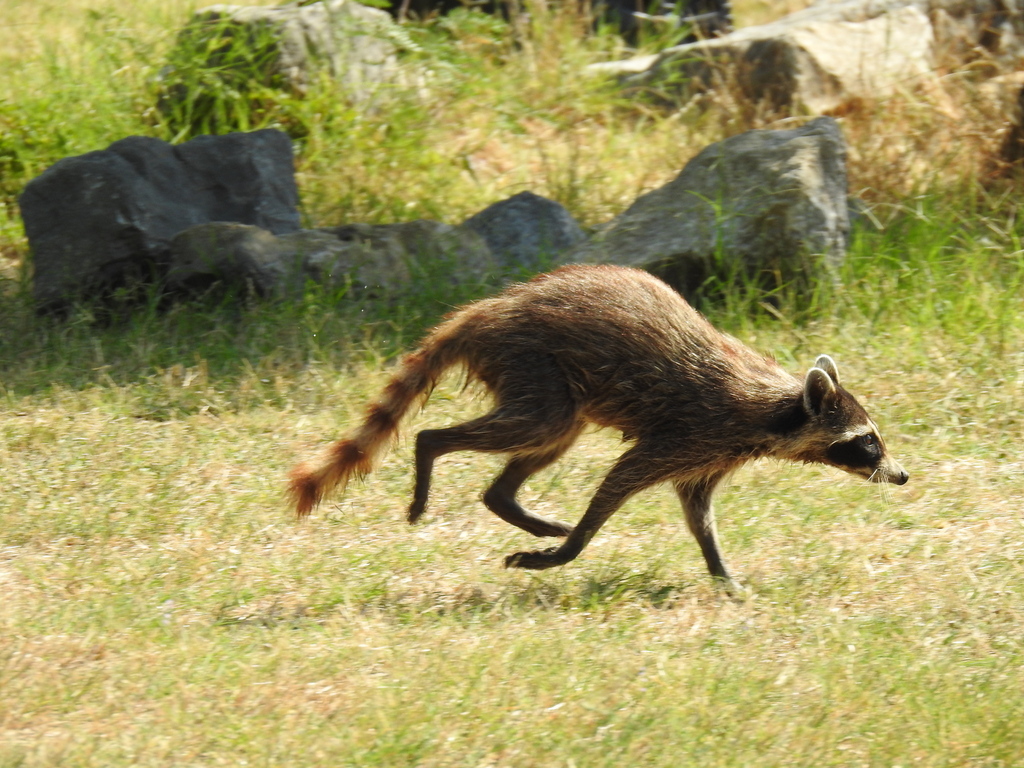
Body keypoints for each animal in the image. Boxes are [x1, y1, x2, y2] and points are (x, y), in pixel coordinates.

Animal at [290, 265, 907, 586]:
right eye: (866, 443)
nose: (902, 476)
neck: (776, 406)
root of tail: (484, 311)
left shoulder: (710, 457)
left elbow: (698, 514)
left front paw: (721, 572)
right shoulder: (694, 430)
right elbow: (620, 478)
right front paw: (575, 548)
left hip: (540, 377)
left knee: (550, 439)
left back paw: (506, 500)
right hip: (533, 363)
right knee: (530, 425)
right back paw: (431, 450)